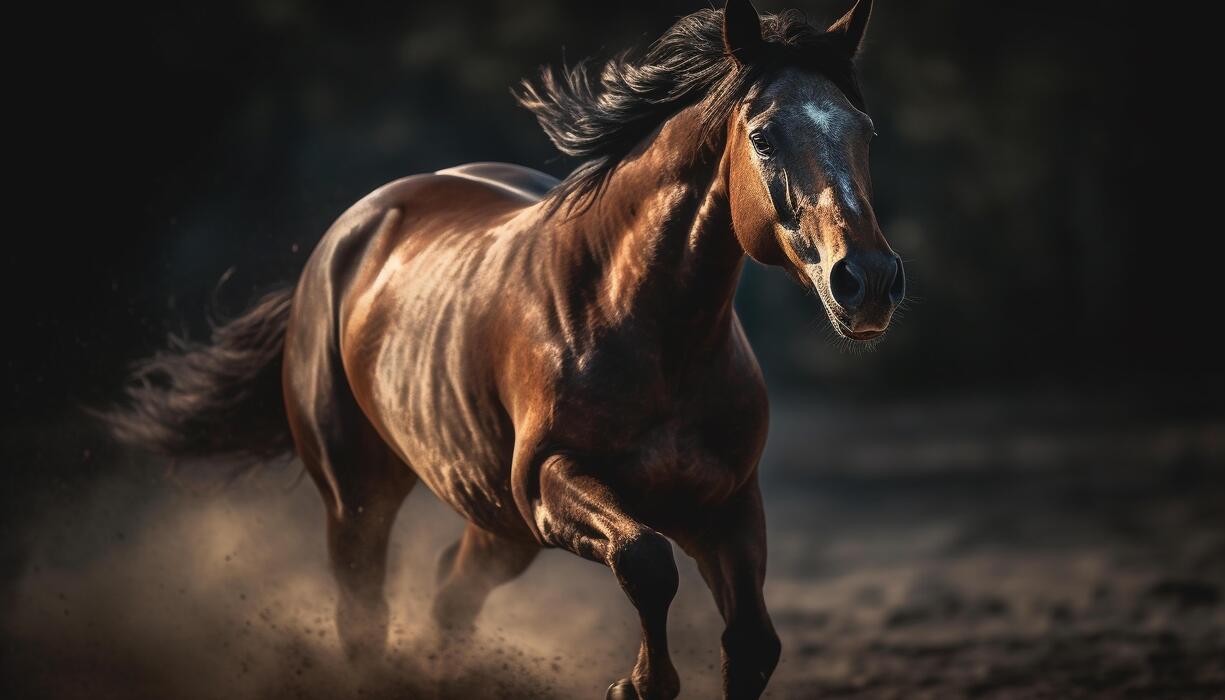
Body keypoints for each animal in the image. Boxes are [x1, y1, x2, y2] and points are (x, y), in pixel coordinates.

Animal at [106, 1, 903, 698]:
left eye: (864, 132)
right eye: (763, 135)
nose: (866, 281)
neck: (644, 329)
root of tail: (344, 239)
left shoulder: (728, 503)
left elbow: (751, 647)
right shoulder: (550, 482)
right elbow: (646, 561)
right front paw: (635, 684)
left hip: (496, 522)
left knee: (449, 596)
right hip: (360, 496)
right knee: (365, 617)